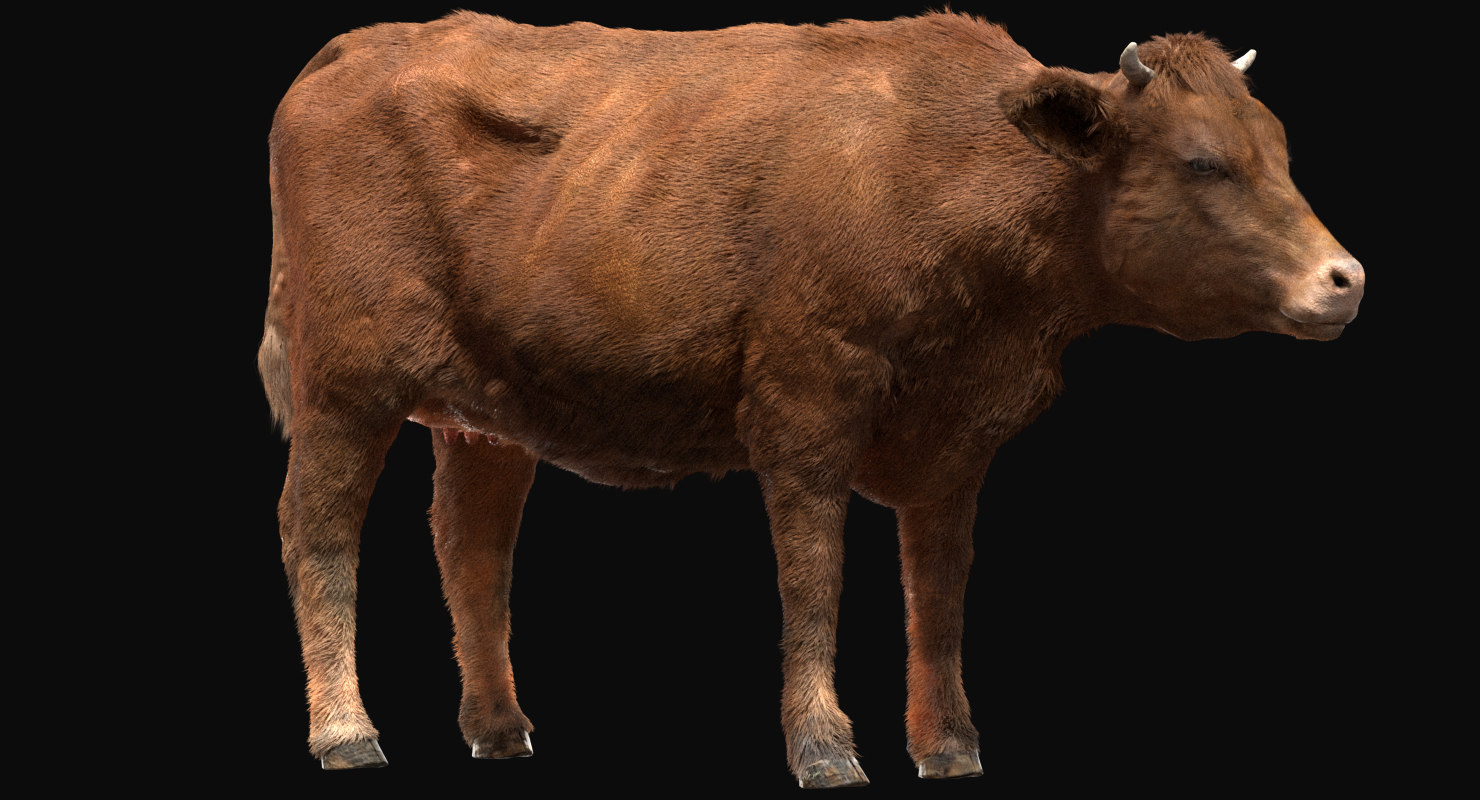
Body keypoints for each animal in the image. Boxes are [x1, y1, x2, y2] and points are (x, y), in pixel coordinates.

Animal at [260, 11, 1364, 789]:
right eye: (1202, 161)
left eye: (1279, 149)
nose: (1345, 277)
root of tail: (356, 48)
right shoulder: (804, 406)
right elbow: (814, 581)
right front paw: (826, 746)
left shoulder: (958, 443)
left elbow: (939, 593)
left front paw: (949, 744)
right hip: (343, 379)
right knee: (318, 529)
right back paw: (346, 731)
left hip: (488, 414)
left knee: (472, 545)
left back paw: (498, 728)